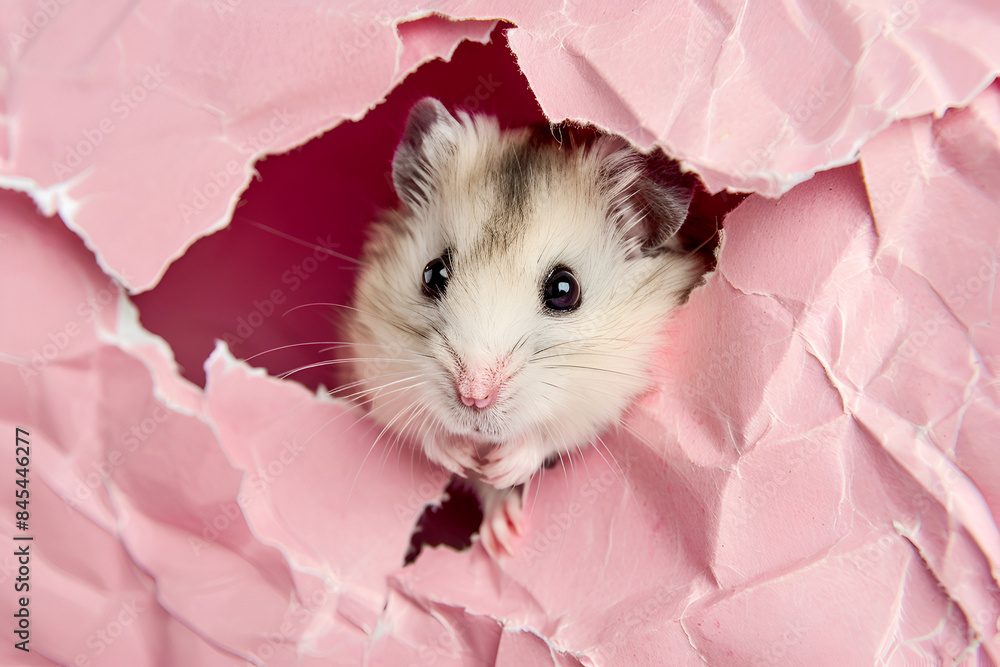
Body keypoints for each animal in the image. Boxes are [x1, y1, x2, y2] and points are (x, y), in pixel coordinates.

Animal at [344, 97, 705, 556]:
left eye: (564, 289)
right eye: (432, 274)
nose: (474, 397)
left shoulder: (608, 396)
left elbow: (553, 434)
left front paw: (503, 477)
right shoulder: (377, 365)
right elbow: (416, 424)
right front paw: (470, 472)